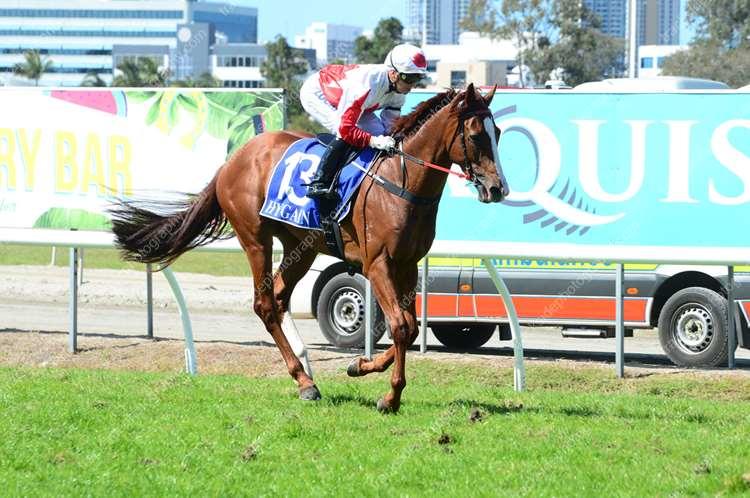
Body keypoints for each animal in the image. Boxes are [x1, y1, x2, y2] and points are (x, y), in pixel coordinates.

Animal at [110, 83, 508, 413]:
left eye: (499, 133)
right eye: (476, 135)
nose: (497, 188)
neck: (400, 183)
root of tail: (233, 158)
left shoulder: (408, 264)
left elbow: (408, 328)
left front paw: (361, 366)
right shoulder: (377, 263)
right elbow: (399, 326)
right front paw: (391, 397)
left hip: (300, 245)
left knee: (279, 297)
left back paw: (306, 376)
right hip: (255, 238)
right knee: (264, 303)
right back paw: (304, 382)